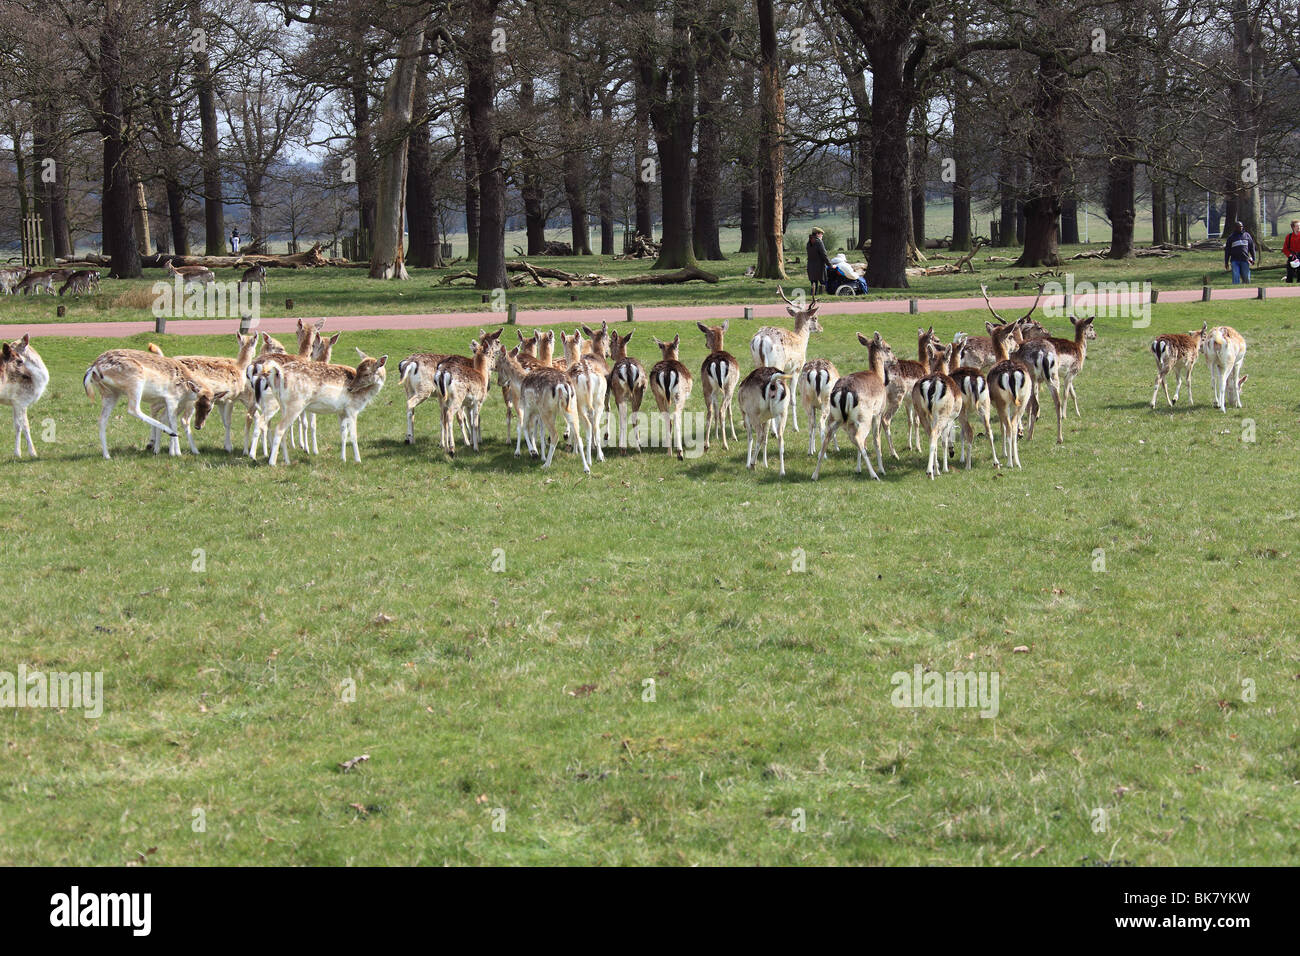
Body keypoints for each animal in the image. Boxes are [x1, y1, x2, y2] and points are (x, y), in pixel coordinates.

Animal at [83, 349, 221, 459]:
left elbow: (167, 418)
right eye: (197, 404)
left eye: (210, 408)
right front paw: (177, 453)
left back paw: (107, 455)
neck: (185, 389)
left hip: (110, 393)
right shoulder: (171, 399)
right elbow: (173, 422)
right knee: (133, 409)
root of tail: (94, 367)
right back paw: (169, 431)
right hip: (135, 382)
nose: (198, 426)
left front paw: (169, 450)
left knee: (102, 419)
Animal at [698, 321, 739, 452]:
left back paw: (706, 444)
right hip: (729, 386)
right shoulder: (733, 388)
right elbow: (730, 411)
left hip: (706, 386)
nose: (706, 344)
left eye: (705, 335)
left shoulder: (715, 391)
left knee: (710, 411)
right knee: (722, 410)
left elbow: (715, 410)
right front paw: (734, 437)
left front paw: (716, 436)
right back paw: (725, 444)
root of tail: (716, 362)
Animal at [750, 287, 823, 432]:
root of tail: (761, 339)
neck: (801, 339)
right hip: (777, 363)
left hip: (757, 362)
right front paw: (796, 427)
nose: (821, 328)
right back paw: (773, 430)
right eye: (815, 318)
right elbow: (793, 398)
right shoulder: (796, 369)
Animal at [812, 332, 893, 481]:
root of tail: (844, 391)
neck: (878, 376)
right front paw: (882, 469)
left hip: (835, 417)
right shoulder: (878, 412)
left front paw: (858, 468)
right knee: (858, 438)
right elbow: (876, 440)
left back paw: (814, 475)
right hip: (864, 417)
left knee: (827, 439)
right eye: (888, 348)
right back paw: (874, 475)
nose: (894, 359)